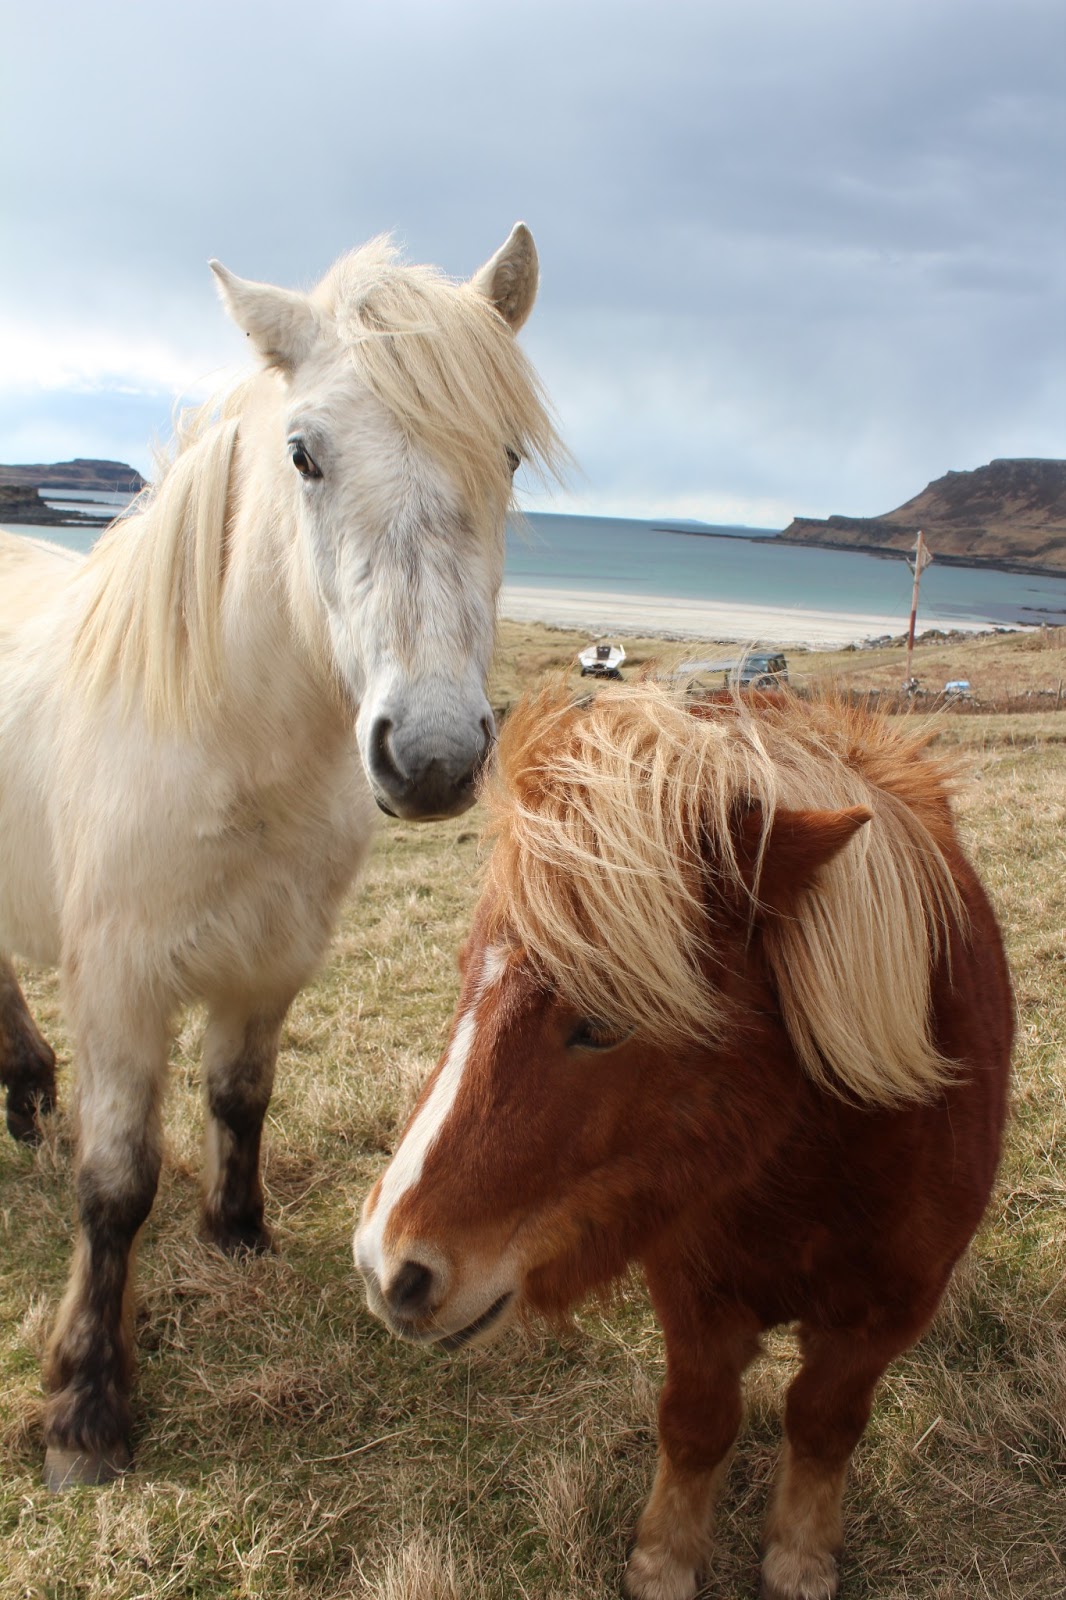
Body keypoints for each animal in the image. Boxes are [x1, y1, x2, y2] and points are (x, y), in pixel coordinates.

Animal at [0, 224, 562, 1491]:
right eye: (304, 453)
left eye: (505, 452)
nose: (434, 755)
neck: (226, 744)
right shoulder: (120, 987)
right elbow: (115, 1187)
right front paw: (86, 1409)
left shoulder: (270, 960)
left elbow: (241, 1097)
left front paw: (238, 1233)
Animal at [356, 681, 1013, 1600]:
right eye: (462, 980)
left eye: (602, 1023)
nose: (387, 1268)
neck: (802, 1177)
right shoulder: (692, 1290)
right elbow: (698, 1420)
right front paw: (665, 1556)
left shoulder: (885, 1313)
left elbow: (823, 1419)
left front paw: (799, 1553)